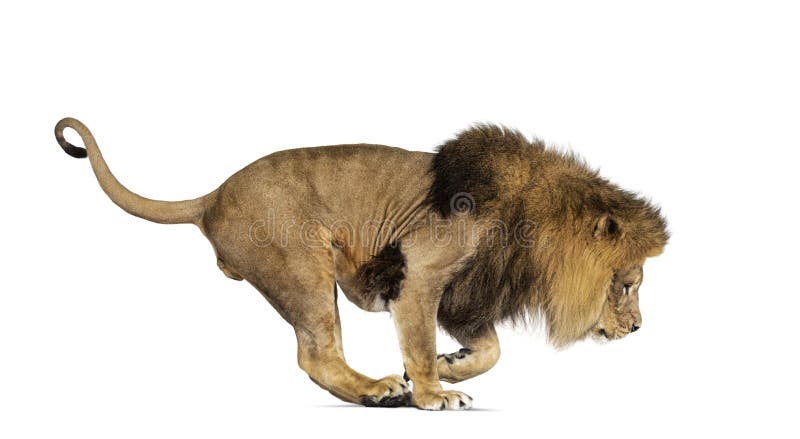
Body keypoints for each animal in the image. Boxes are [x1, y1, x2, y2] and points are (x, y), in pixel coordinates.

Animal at [54, 118, 668, 410]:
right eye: (626, 285)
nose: (639, 329)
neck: (533, 228)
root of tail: (212, 196)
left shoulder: (468, 293)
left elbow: (490, 351)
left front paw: (449, 366)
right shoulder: (421, 272)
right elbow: (418, 339)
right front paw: (432, 393)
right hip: (304, 268)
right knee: (315, 354)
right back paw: (376, 389)